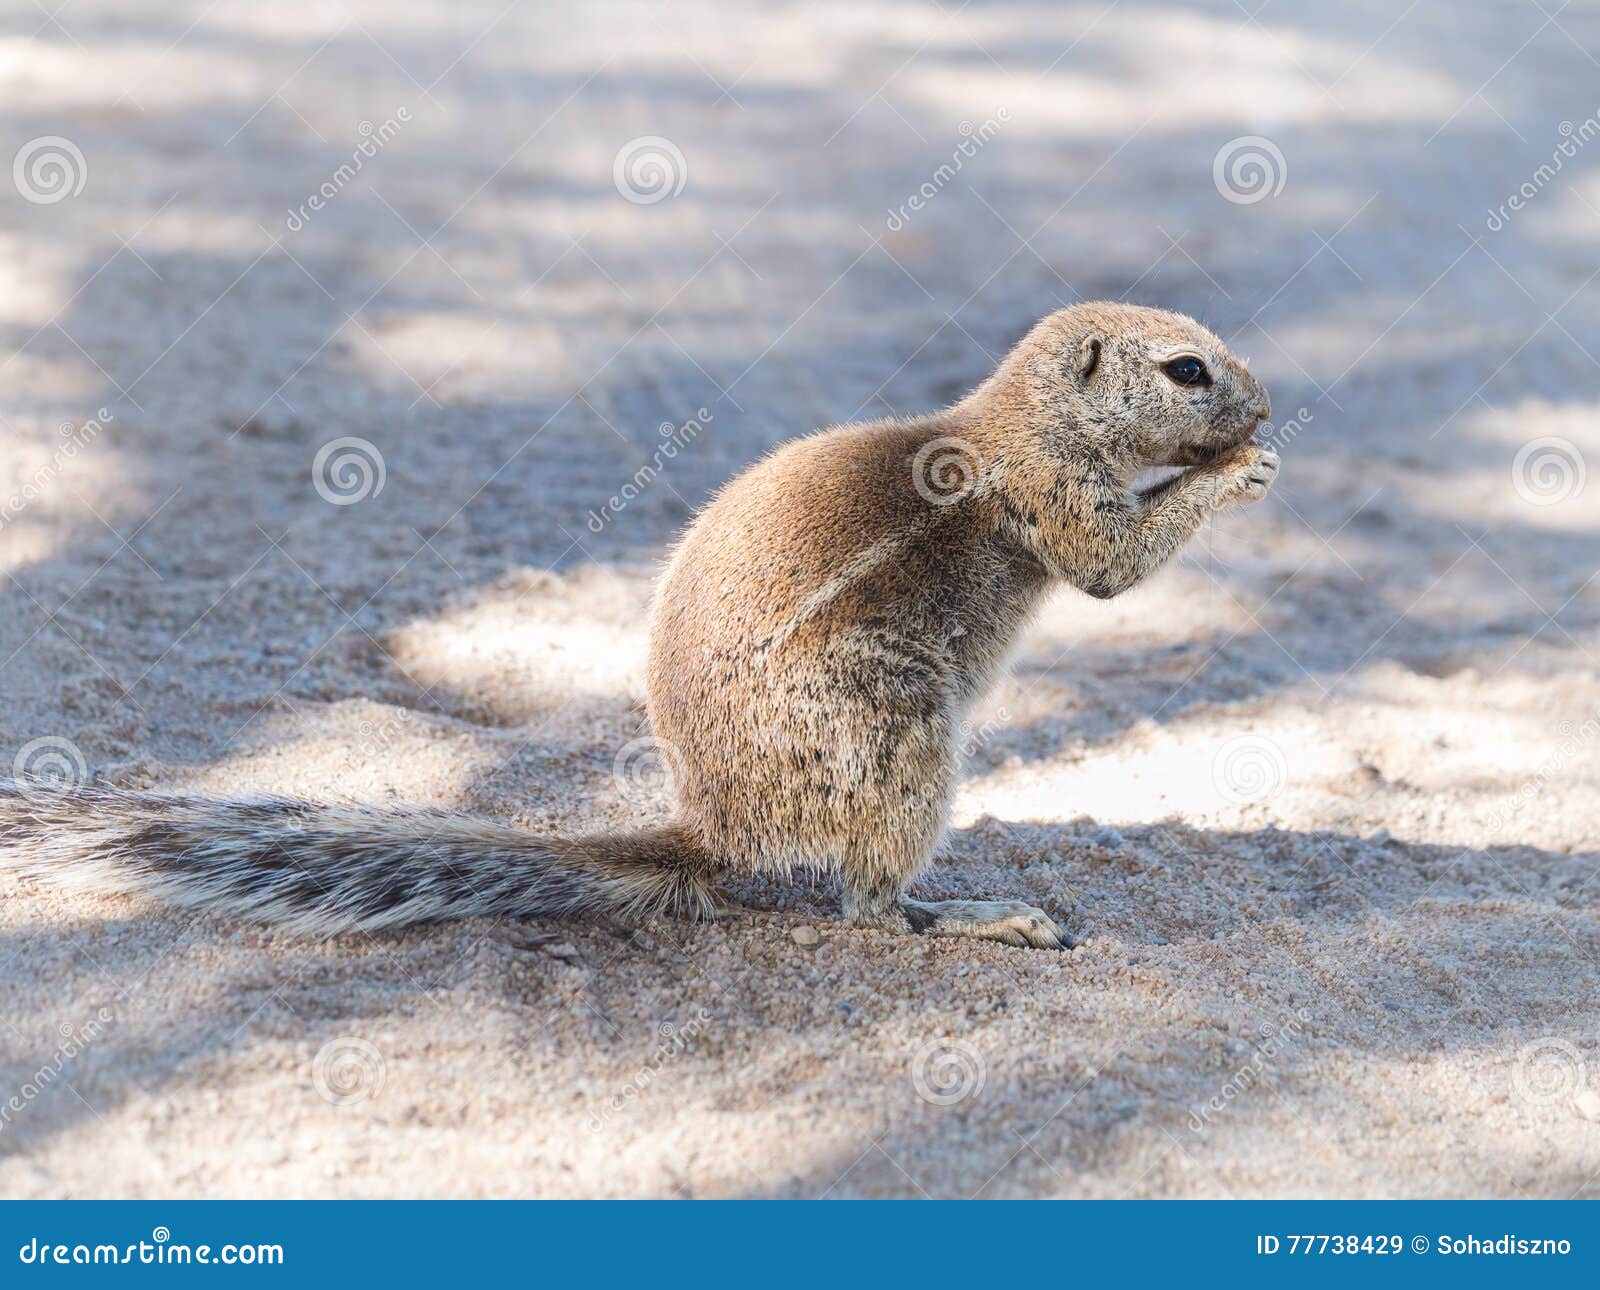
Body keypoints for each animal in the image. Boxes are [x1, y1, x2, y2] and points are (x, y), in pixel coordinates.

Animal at [0, 302, 1276, 949]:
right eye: (1186, 369)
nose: (1266, 406)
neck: (1023, 418)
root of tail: (714, 828)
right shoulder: (1051, 494)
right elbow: (1112, 566)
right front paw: (1235, 473)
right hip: (895, 725)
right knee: (866, 910)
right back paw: (971, 914)